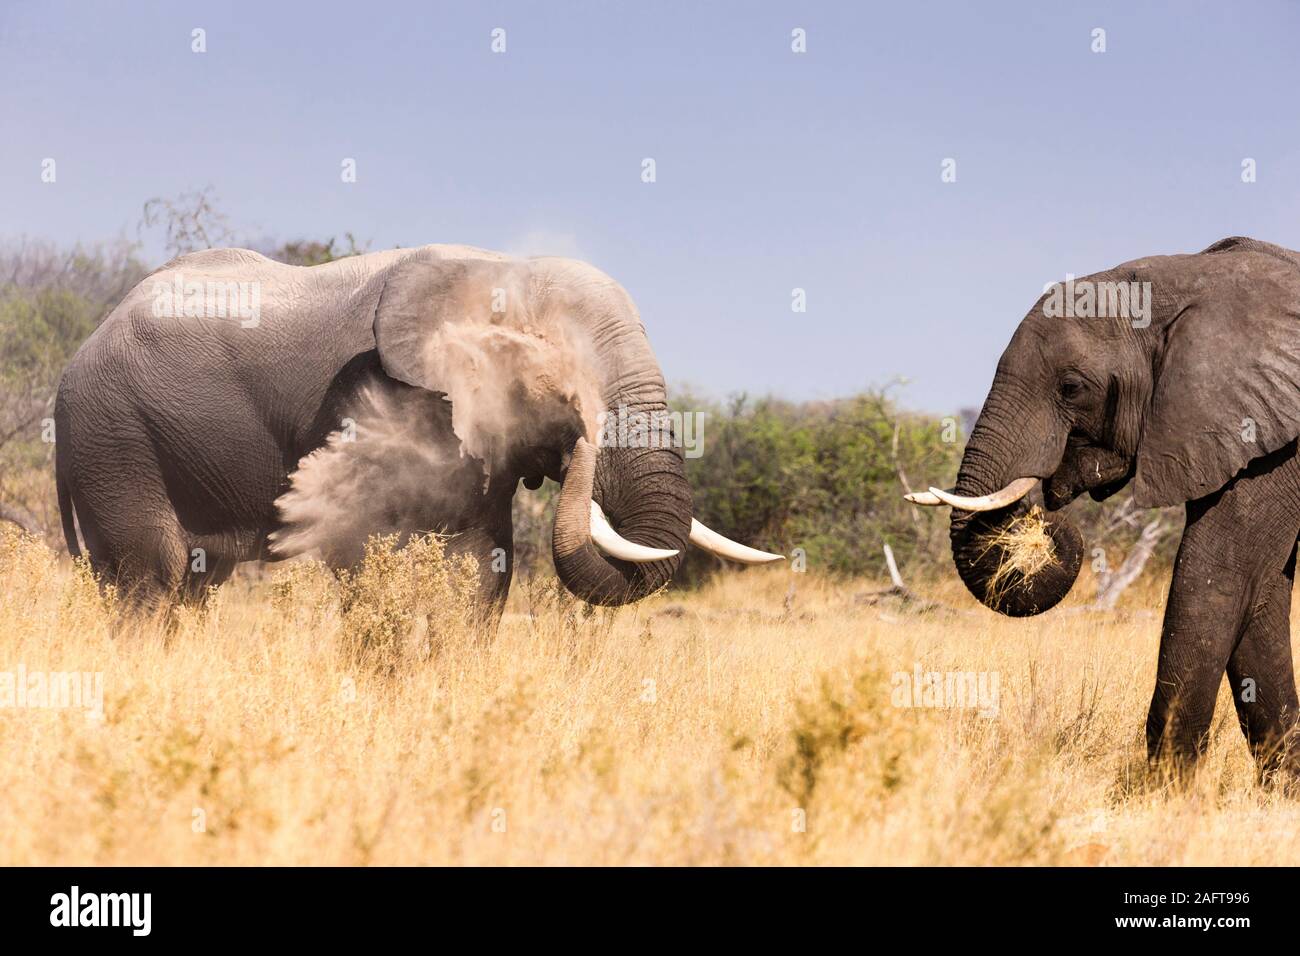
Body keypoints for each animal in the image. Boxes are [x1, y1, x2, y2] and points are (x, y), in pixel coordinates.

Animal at [54, 244, 781, 614]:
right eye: (556, 368)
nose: (579, 435)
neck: (491, 264)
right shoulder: (371, 398)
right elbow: (365, 544)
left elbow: (487, 565)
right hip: (113, 438)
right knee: (153, 576)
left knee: (195, 584)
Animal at [908, 236, 1300, 783]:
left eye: (1071, 388)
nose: (1044, 517)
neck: (1194, 278)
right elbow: (1260, 593)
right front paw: (1283, 788)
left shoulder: (1278, 443)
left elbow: (1221, 573)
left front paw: (1166, 791)